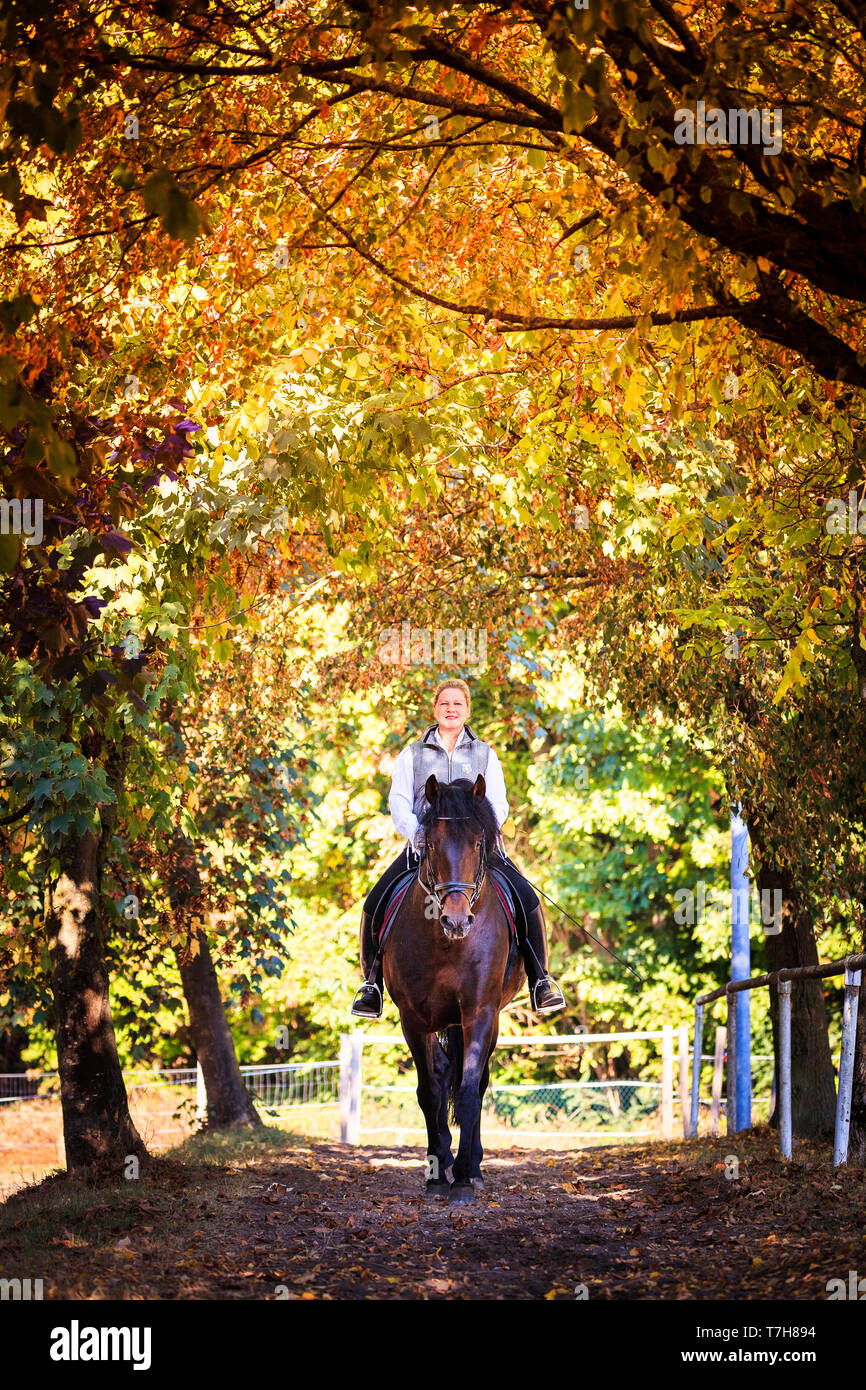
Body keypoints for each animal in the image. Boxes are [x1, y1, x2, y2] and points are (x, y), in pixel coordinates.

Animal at [381, 772, 524, 1204]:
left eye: (478, 843)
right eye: (430, 844)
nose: (456, 920)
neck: (447, 944)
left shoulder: (479, 1012)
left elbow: (468, 1090)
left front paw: (462, 1179)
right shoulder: (413, 1019)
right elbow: (430, 1091)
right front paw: (435, 1175)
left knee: (477, 1081)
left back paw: (471, 1166)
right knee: (445, 1074)